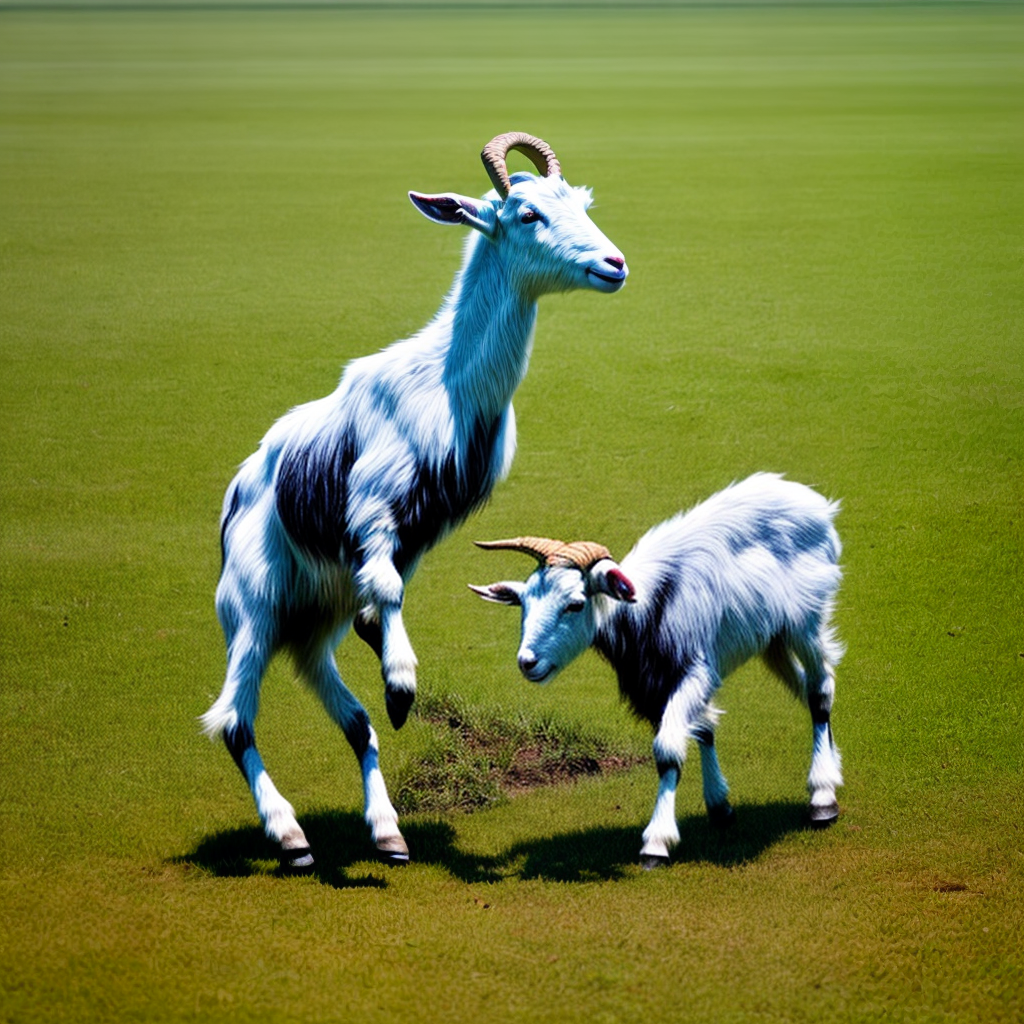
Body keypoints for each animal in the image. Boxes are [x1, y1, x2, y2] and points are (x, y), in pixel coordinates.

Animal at [201, 133, 628, 869]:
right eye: (527, 214)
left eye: (580, 203)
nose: (614, 264)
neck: (445, 380)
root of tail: (238, 493)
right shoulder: (373, 507)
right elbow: (390, 593)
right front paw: (402, 682)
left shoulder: (419, 529)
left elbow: (383, 602)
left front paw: (396, 689)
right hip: (253, 604)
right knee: (233, 718)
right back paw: (291, 838)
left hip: (311, 620)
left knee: (350, 714)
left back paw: (388, 833)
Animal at [471, 473, 844, 867]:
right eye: (524, 602)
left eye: (575, 604)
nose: (528, 662)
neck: (648, 606)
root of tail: (815, 503)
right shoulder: (654, 683)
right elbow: (701, 730)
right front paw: (720, 808)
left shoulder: (694, 672)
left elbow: (667, 750)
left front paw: (656, 843)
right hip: (773, 639)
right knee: (806, 688)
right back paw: (832, 768)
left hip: (807, 621)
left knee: (820, 689)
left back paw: (822, 798)